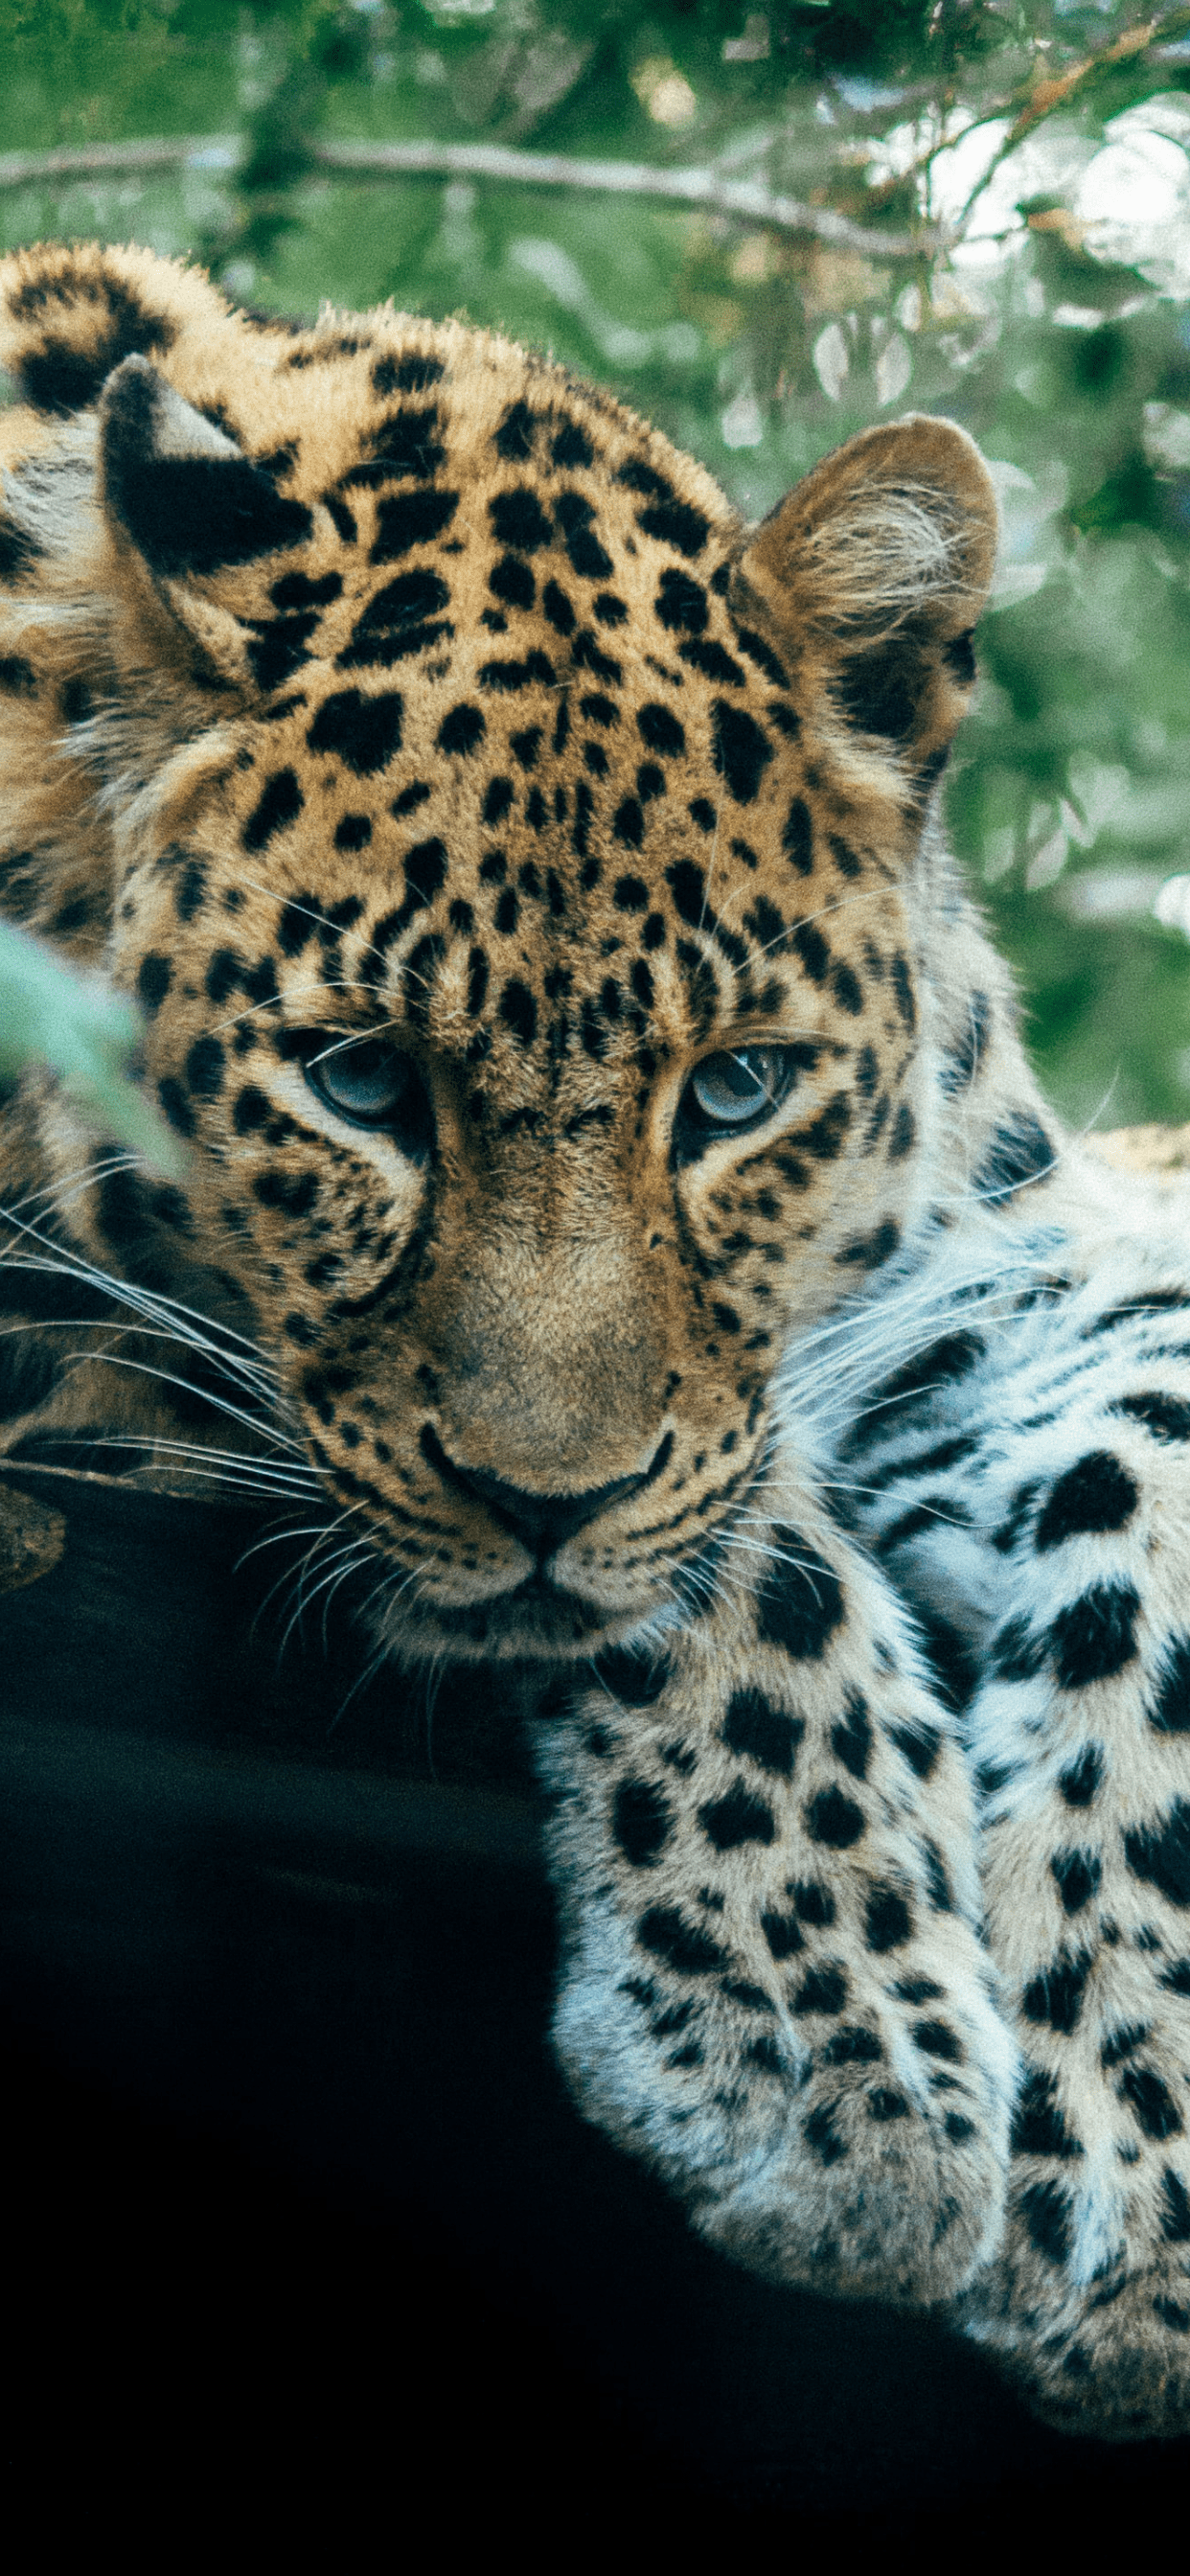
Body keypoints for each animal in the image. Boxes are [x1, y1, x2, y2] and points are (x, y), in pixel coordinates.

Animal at [0, 239, 1188, 2445]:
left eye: (734, 1091)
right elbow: (743, 1542)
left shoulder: (1000, 1254)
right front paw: (835, 2061)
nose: (542, 1501)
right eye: (357, 1082)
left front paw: (1128, 2150)